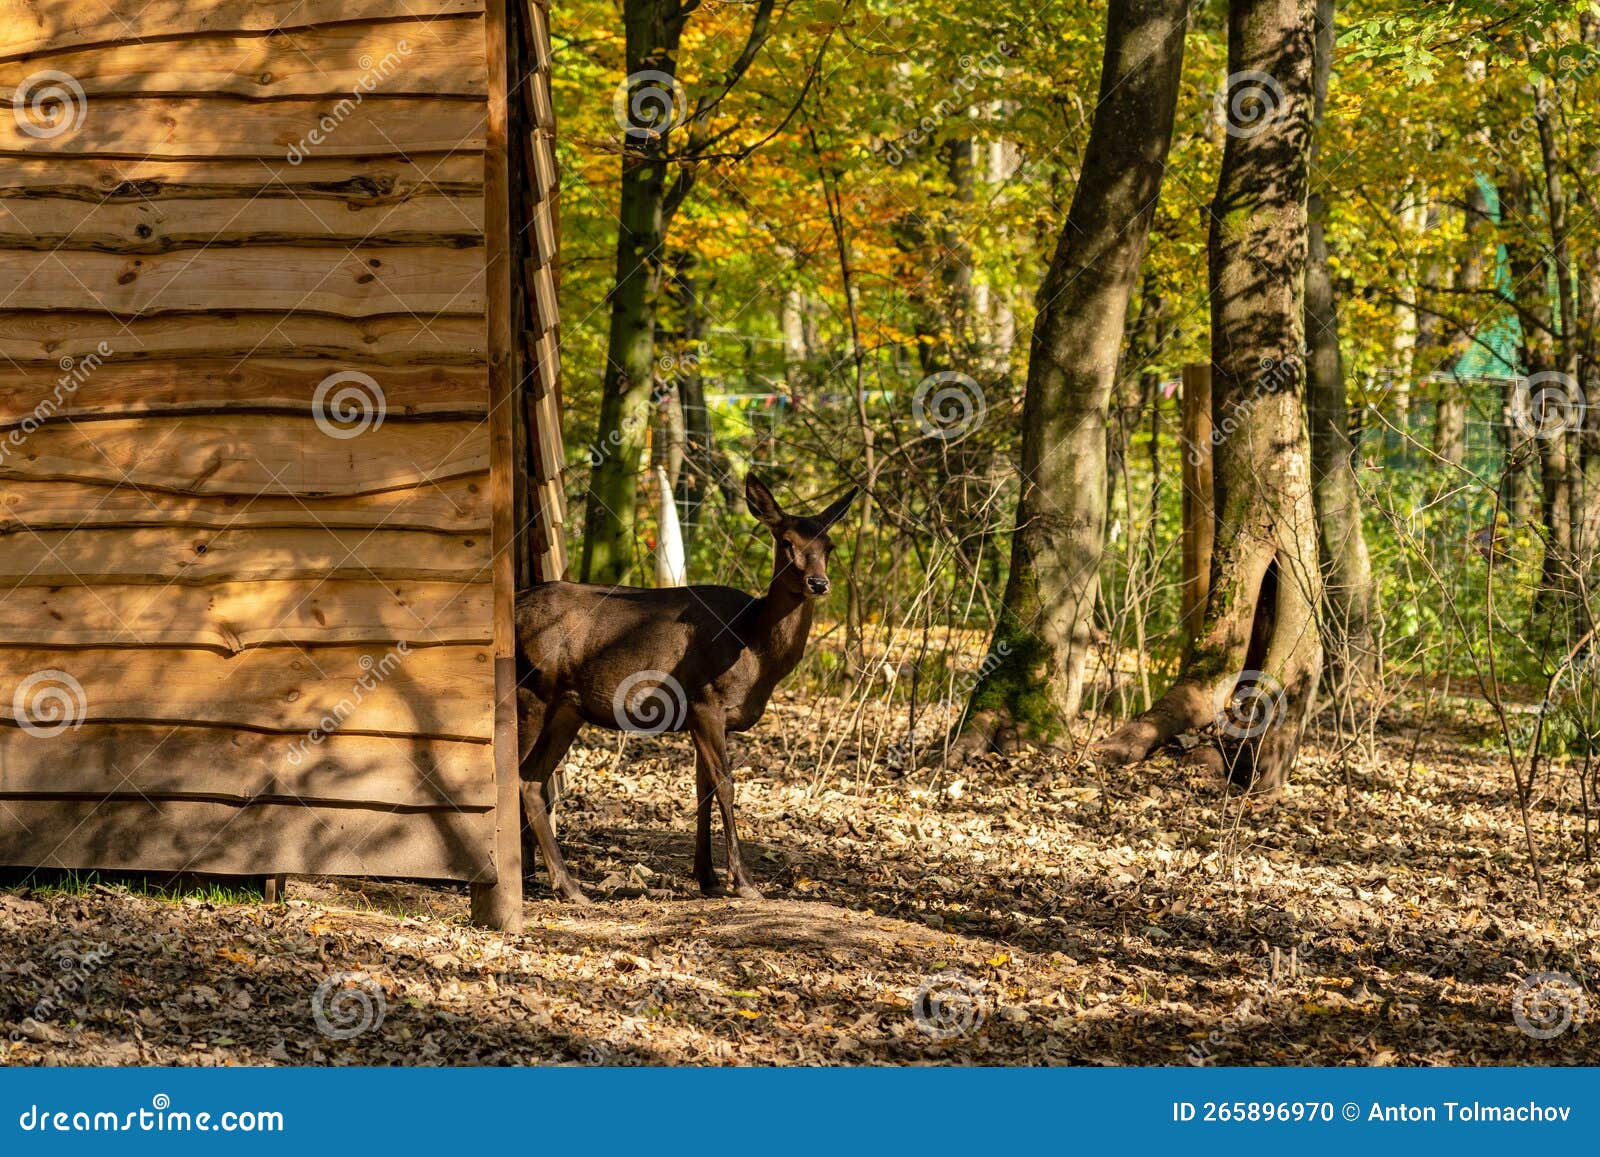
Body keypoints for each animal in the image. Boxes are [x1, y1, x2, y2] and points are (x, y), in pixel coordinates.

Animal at [513, 473, 858, 904]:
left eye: (829, 545)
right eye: (786, 541)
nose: (818, 583)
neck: (754, 648)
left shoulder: (701, 716)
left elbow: (703, 790)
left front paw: (707, 877)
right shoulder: (706, 701)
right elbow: (725, 787)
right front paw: (743, 883)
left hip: (567, 708)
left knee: (532, 779)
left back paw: (565, 884)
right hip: (532, 691)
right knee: (515, 773)